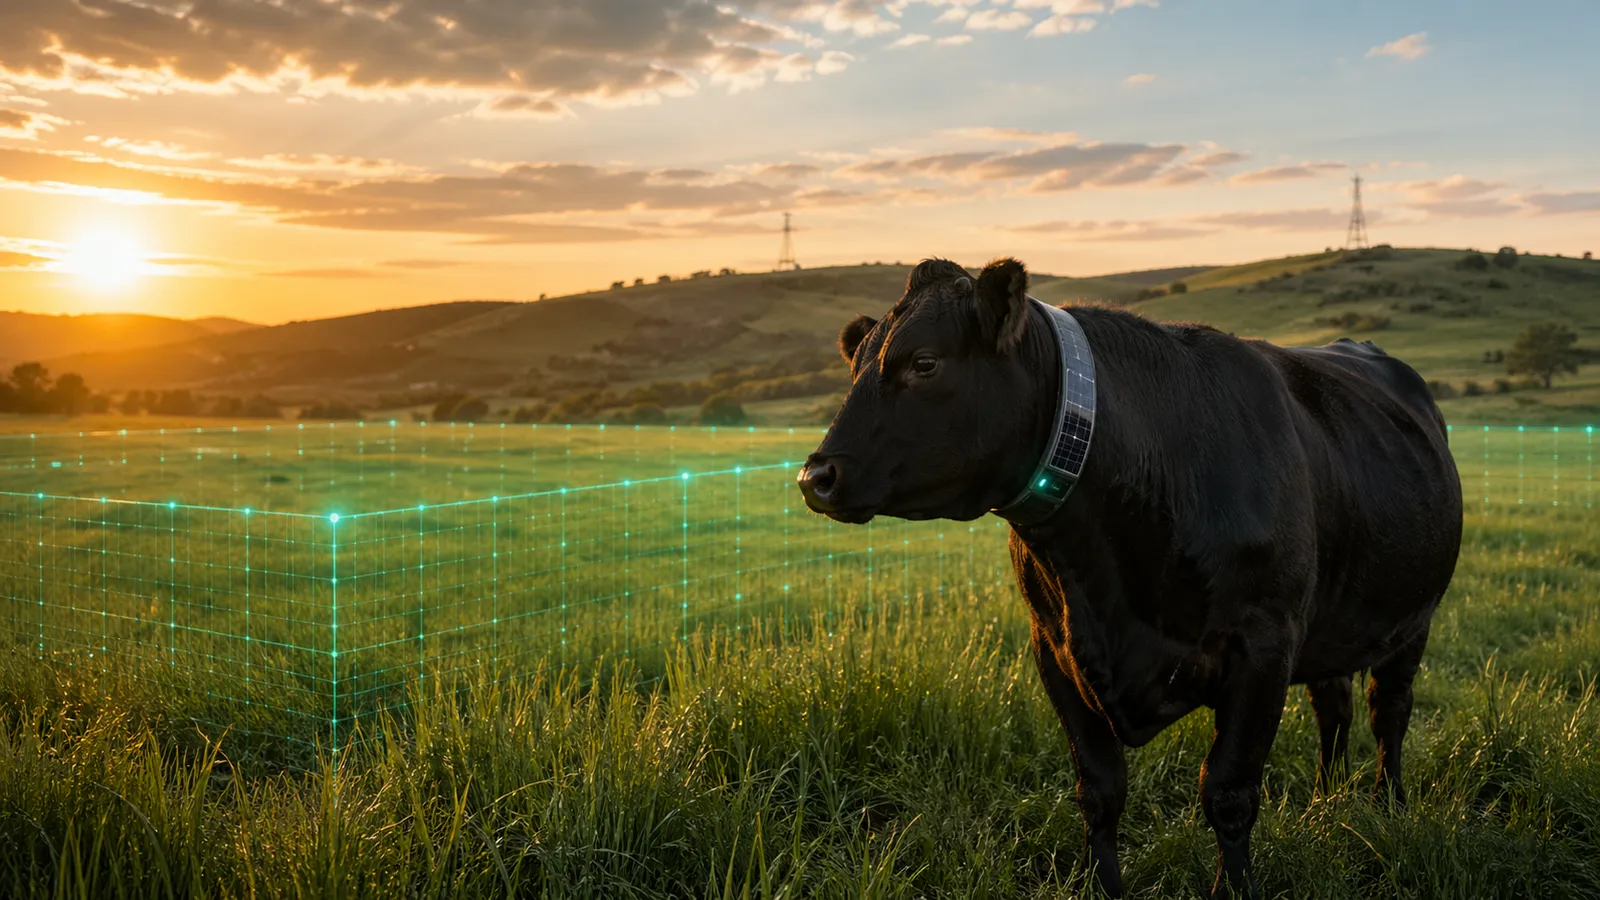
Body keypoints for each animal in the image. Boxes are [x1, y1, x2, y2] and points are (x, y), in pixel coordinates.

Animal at [796, 257, 1463, 899]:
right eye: (855, 365)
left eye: (925, 362)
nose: (814, 476)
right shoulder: (1054, 648)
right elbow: (1099, 791)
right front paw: (1105, 887)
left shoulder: (1264, 644)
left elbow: (1228, 790)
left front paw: (1234, 889)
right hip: (1333, 619)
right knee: (1334, 705)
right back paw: (1326, 801)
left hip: (1414, 620)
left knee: (1387, 710)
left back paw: (1387, 804)